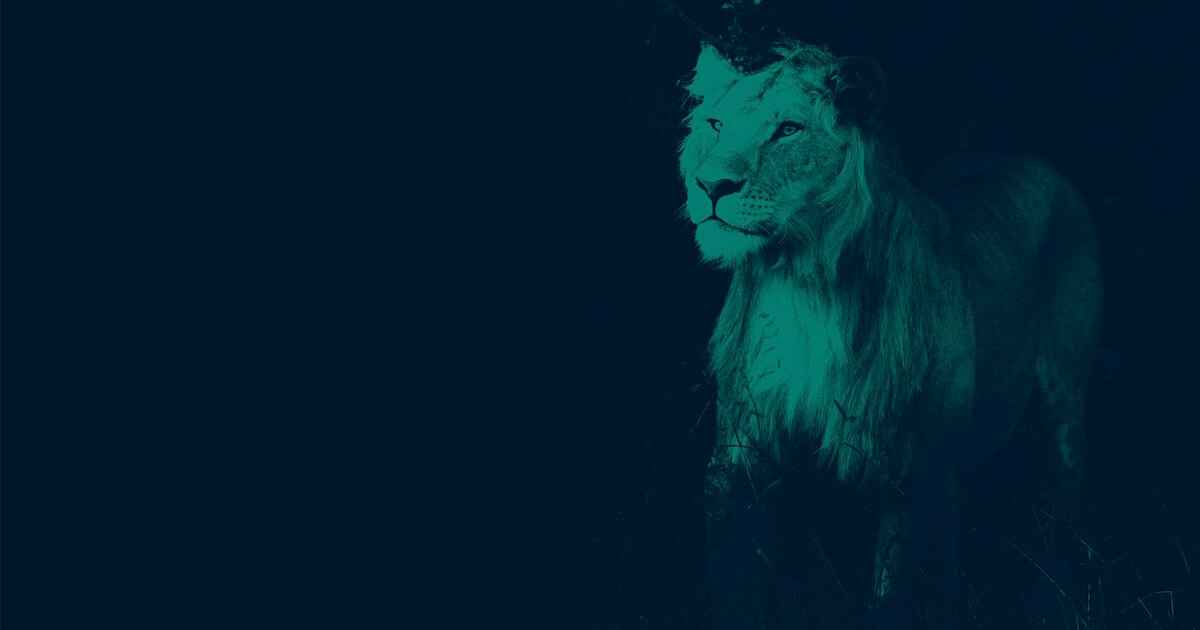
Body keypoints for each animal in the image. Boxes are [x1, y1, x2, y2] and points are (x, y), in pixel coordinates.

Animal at [678, 42, 1103, 628]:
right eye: (716, 124)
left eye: (787, 129)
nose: (711, 186)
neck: (803, 284)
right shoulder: (739, 451)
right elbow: (735, 580)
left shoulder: (914, 470)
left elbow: (894, 593)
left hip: (1063, 397)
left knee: (1065, 510)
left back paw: (1057, 597)